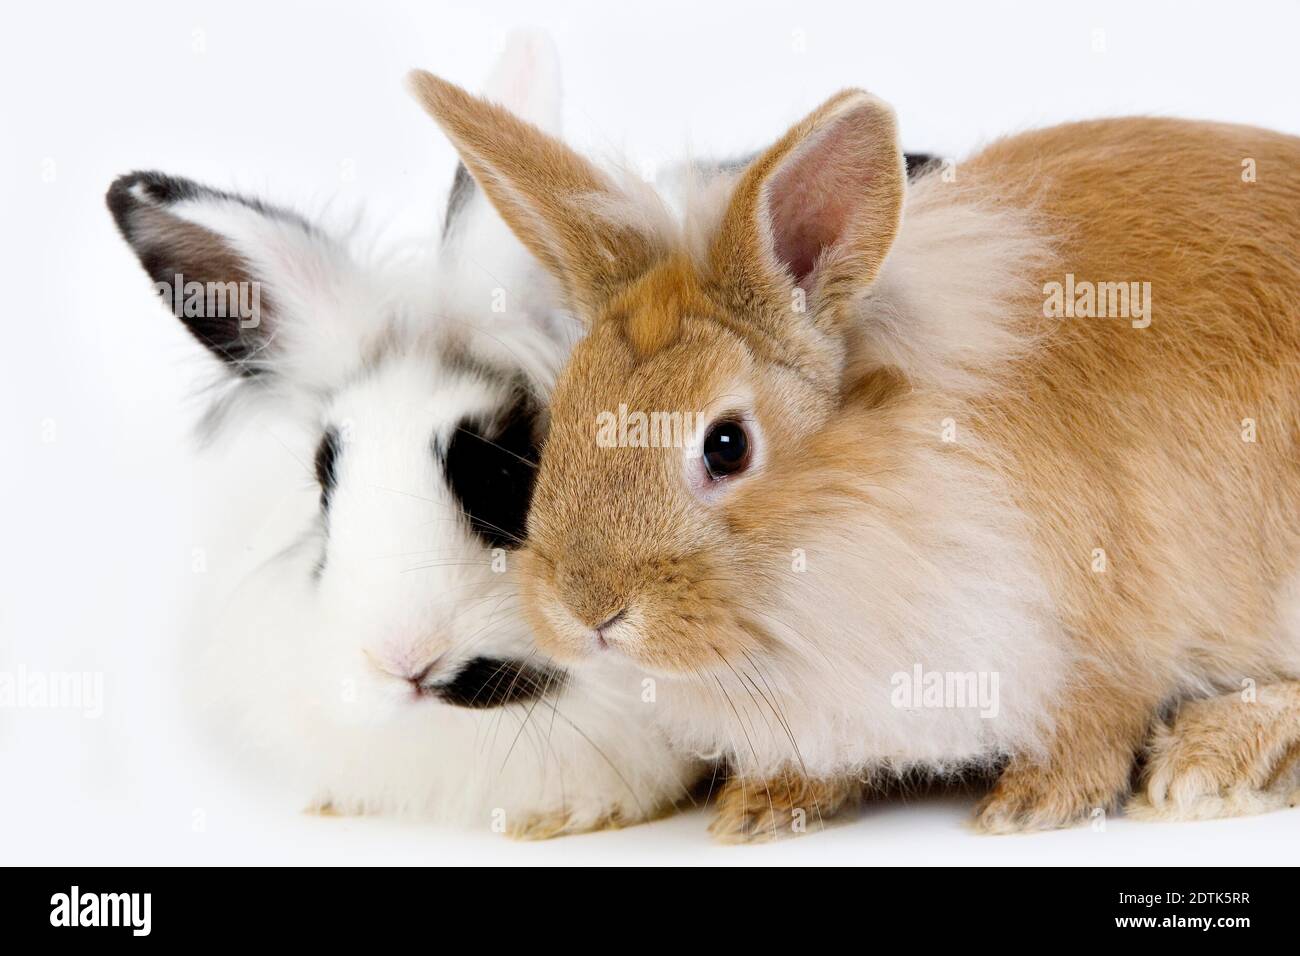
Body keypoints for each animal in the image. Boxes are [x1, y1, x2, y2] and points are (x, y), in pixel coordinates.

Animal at [408, 71, 1300, 841]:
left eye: (726, 446)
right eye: (561, 416)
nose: (586, 611)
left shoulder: (1101, 634)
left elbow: (1094, 724)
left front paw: (1031, 806)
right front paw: (762, 806)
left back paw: (1205, 765)